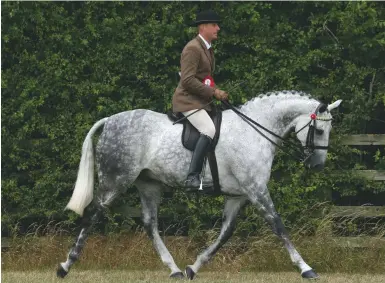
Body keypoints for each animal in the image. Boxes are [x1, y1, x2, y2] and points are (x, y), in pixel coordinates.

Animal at [56, 91, 340, 280]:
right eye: (320, 131)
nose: (317, 165)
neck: (253, 132)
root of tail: (109, 120)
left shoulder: (238, 195)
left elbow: (225, 233)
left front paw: (194, 267)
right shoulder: (256, 189)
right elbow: (278, 225)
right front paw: (305, 268)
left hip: (148, 184)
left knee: (150, 223)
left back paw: (174, 270)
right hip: (115, 181)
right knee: (92, 214)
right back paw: (65, 266)